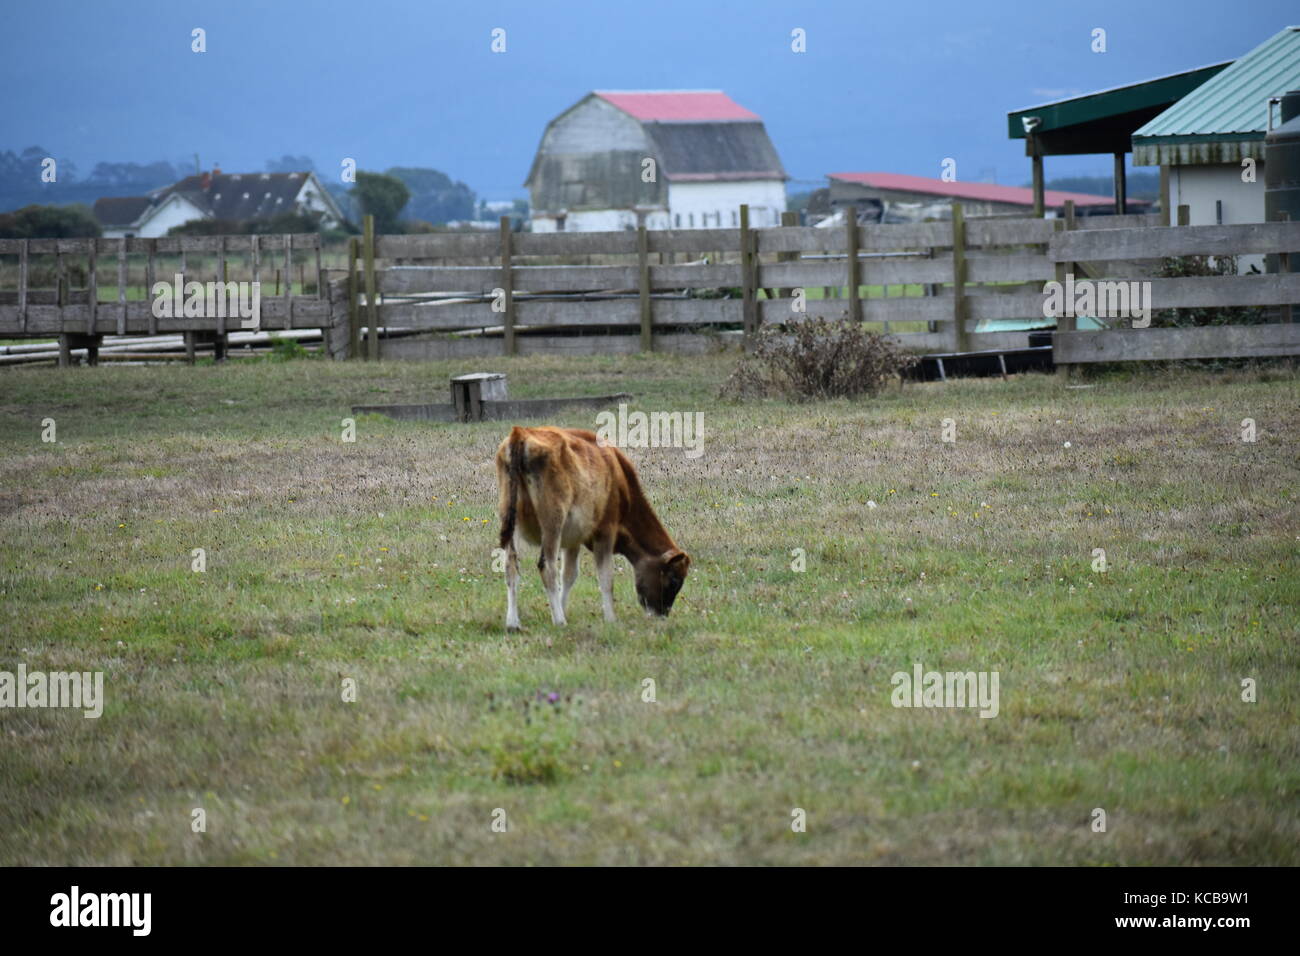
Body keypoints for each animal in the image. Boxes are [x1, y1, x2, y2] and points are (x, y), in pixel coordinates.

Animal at [495, 425, 690, 630]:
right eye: (674, 580)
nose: (662, 614)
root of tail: (521, 433)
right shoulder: (606, 530)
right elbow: (606, 577)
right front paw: (610, 619)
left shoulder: (573, 539)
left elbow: (569, 575)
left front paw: (562, 607)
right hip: (552, 521)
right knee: (547, 566)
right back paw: (559, 621)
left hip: (511, 519)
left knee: (511, 565)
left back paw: (513, 623)